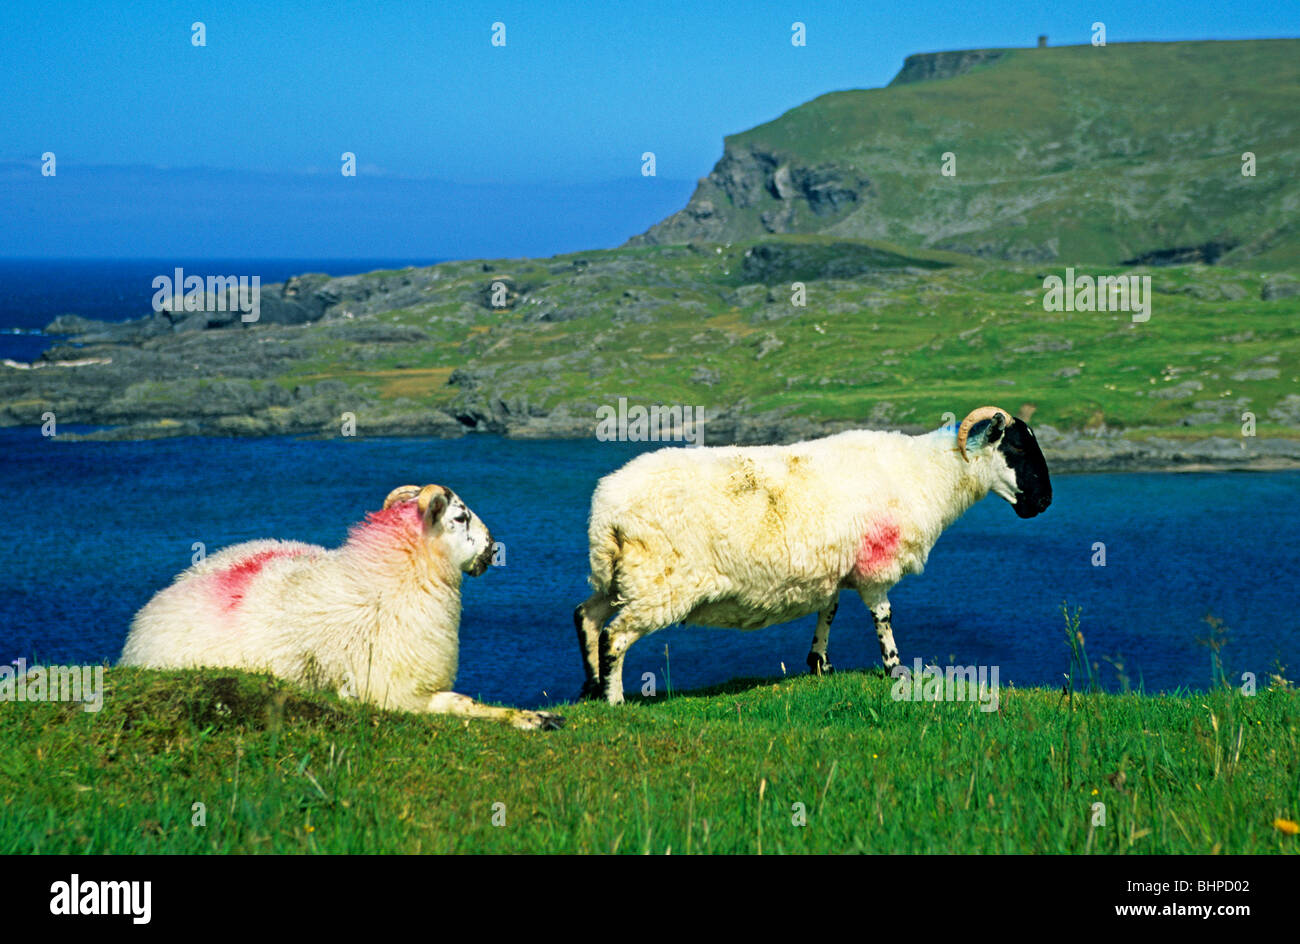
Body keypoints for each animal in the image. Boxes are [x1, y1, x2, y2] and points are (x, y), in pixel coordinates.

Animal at [121, 484, 564, 730]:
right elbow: (463, 703)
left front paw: (538, 716)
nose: (492, 547)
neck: (383, 581)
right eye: (460, 517)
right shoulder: (393, 693)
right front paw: (527, 718)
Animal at [574, 406, 1052, 703]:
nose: (1044, 503)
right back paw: (615, 700)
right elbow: (883, 616)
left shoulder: (832, 567)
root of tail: (606, 510)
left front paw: (820, 664)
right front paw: (896, 670)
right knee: (614, 635)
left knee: (586, 616)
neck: (931, 473)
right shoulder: (875, 565)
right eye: (1016, 447)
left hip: (619, 577)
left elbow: (829, 611)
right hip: (658, 581)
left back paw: (592, 687)